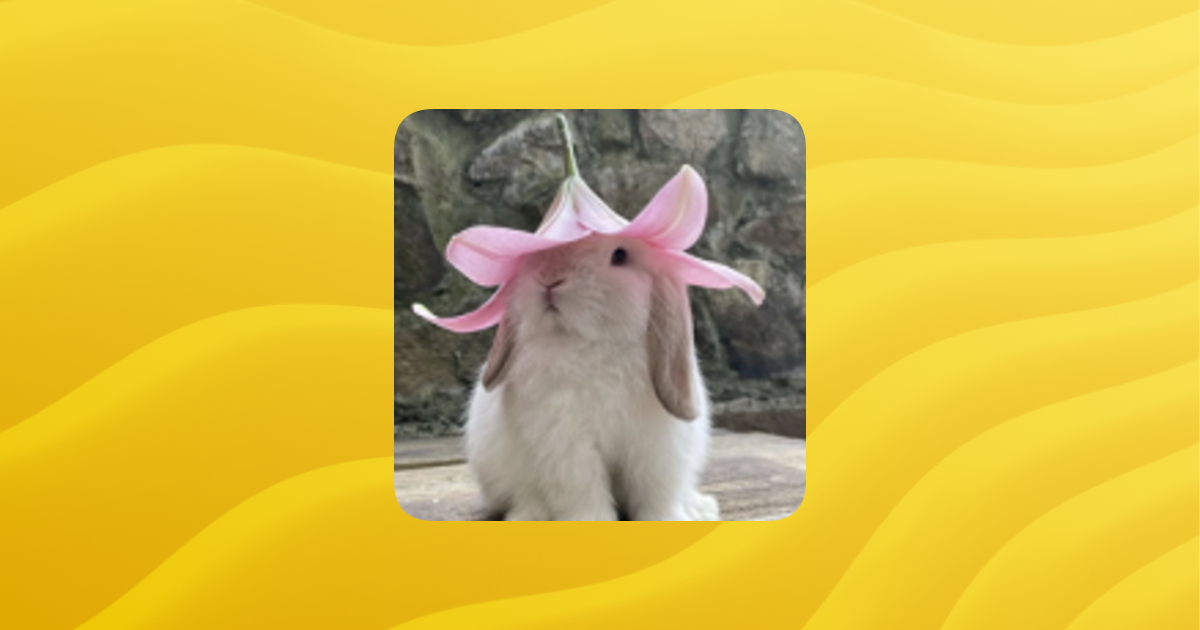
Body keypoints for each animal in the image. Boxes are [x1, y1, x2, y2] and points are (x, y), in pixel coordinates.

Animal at [464, 233, 721, 521]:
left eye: (620, 256)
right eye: (535, 254)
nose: (550, 277)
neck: (592, 346)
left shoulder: (656, 448)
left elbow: (656, 494)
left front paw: (667, 520)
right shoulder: (567, 445)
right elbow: (583, 491)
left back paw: (701, 508)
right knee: (525, 497)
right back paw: (527, 517)